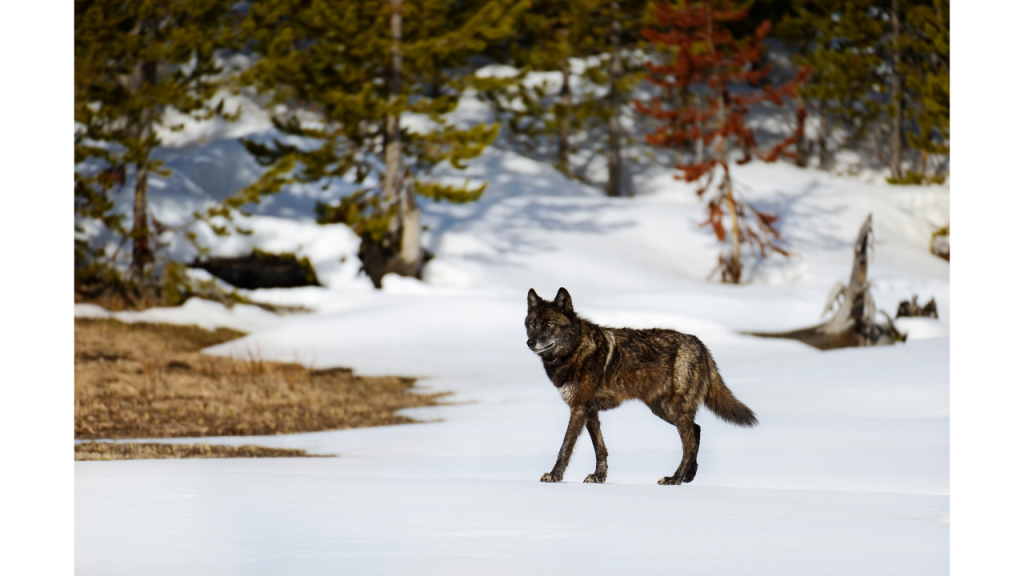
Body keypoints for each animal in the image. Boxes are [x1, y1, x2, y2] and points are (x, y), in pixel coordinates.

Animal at [526, 287, 757, 485]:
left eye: (549, 325)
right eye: (532, 324)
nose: (530, 343)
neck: (575, 350)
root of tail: (701, 345)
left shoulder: (579, 408)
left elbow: (565, 446)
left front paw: (554, 475)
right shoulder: (590, 411)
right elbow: (599, 447)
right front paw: (599, 476)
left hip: (673, 410)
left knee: (690, 442)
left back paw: (675, 478)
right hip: (662, 410)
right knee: (697, 430)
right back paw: (688, 476)